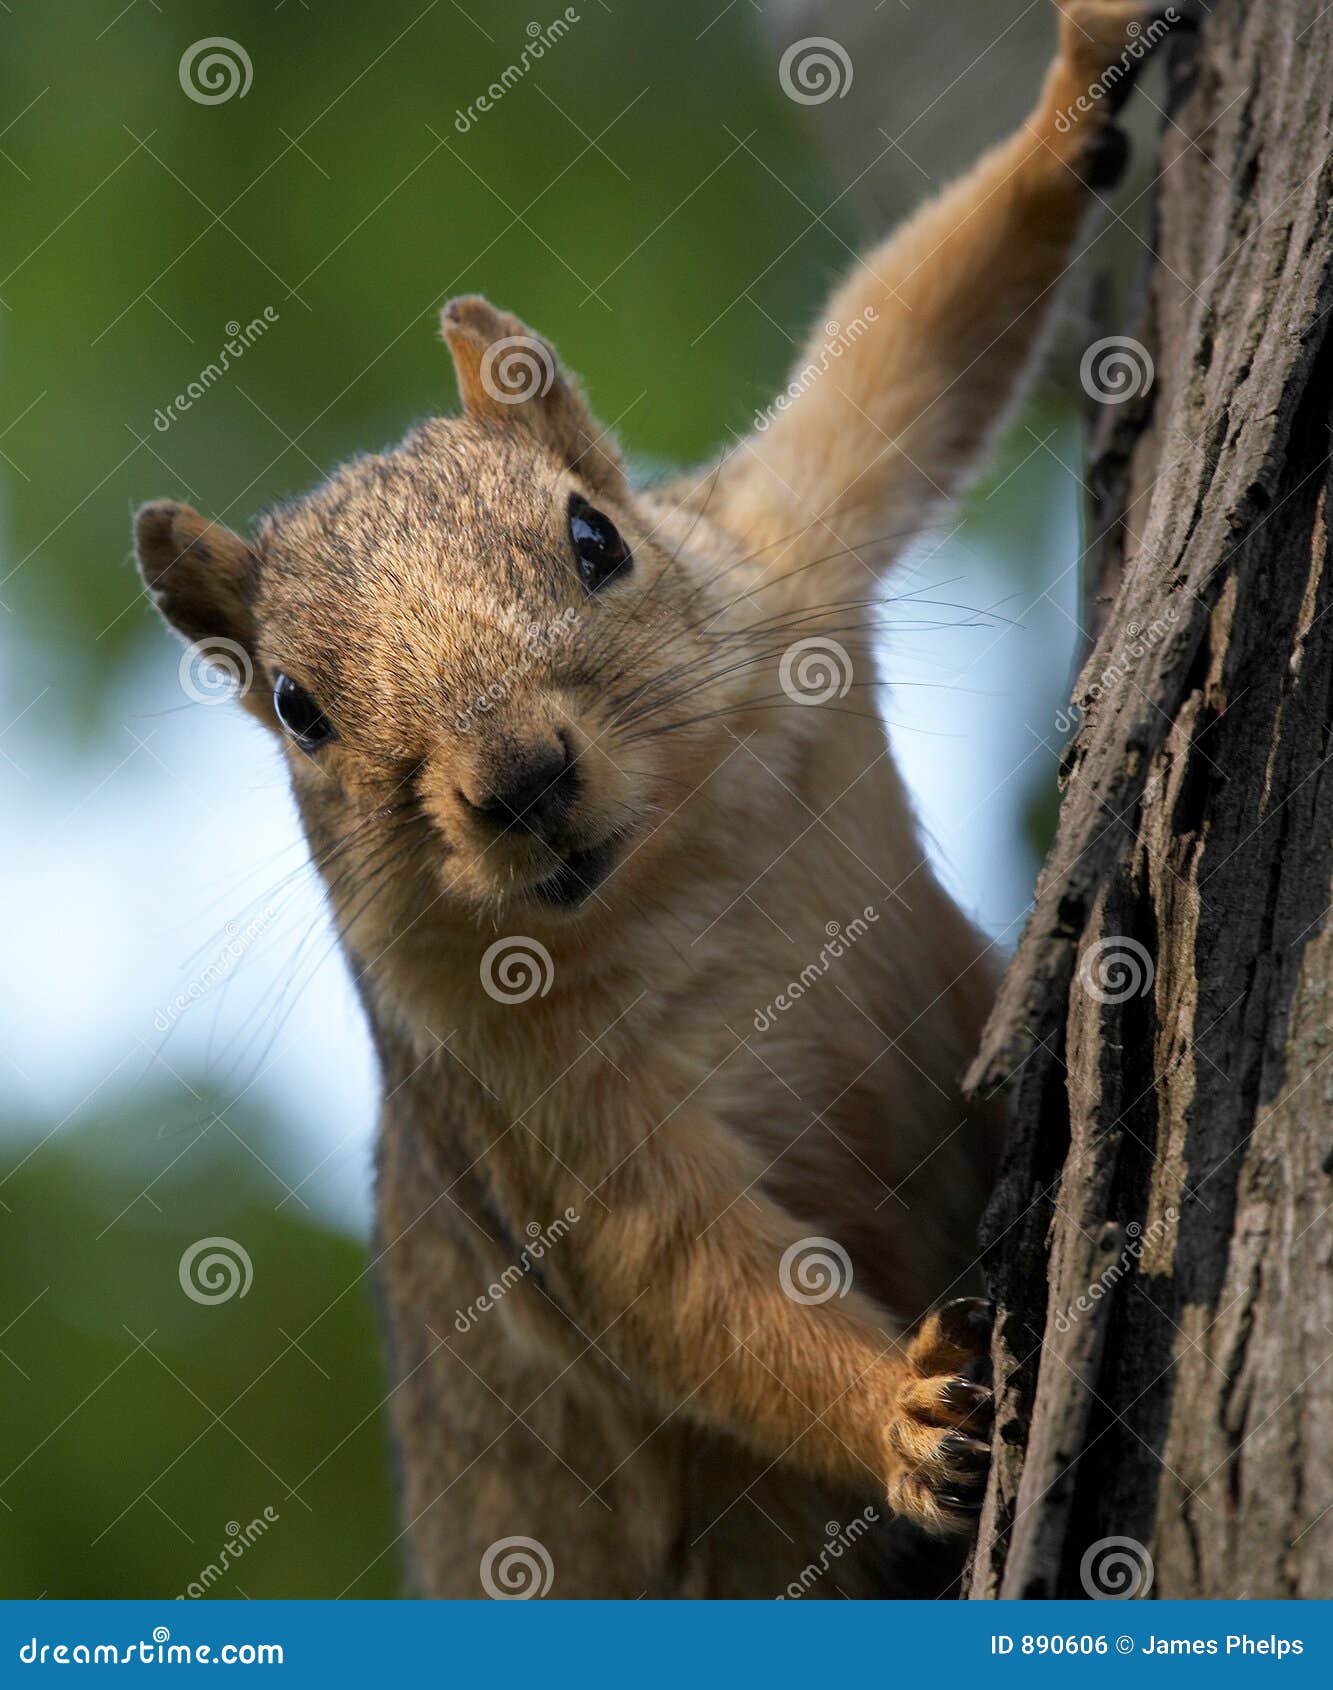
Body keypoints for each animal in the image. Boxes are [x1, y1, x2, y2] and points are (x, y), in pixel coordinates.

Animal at [133, 1, 1192, 1599]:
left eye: (596, 539)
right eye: (299, 709)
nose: (522, 778)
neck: (676, 867)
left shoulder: (784, 545)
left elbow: (910, 343)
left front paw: (1081, 83)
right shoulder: (512, 1091)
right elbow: (682, 1288)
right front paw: (900, 1417)